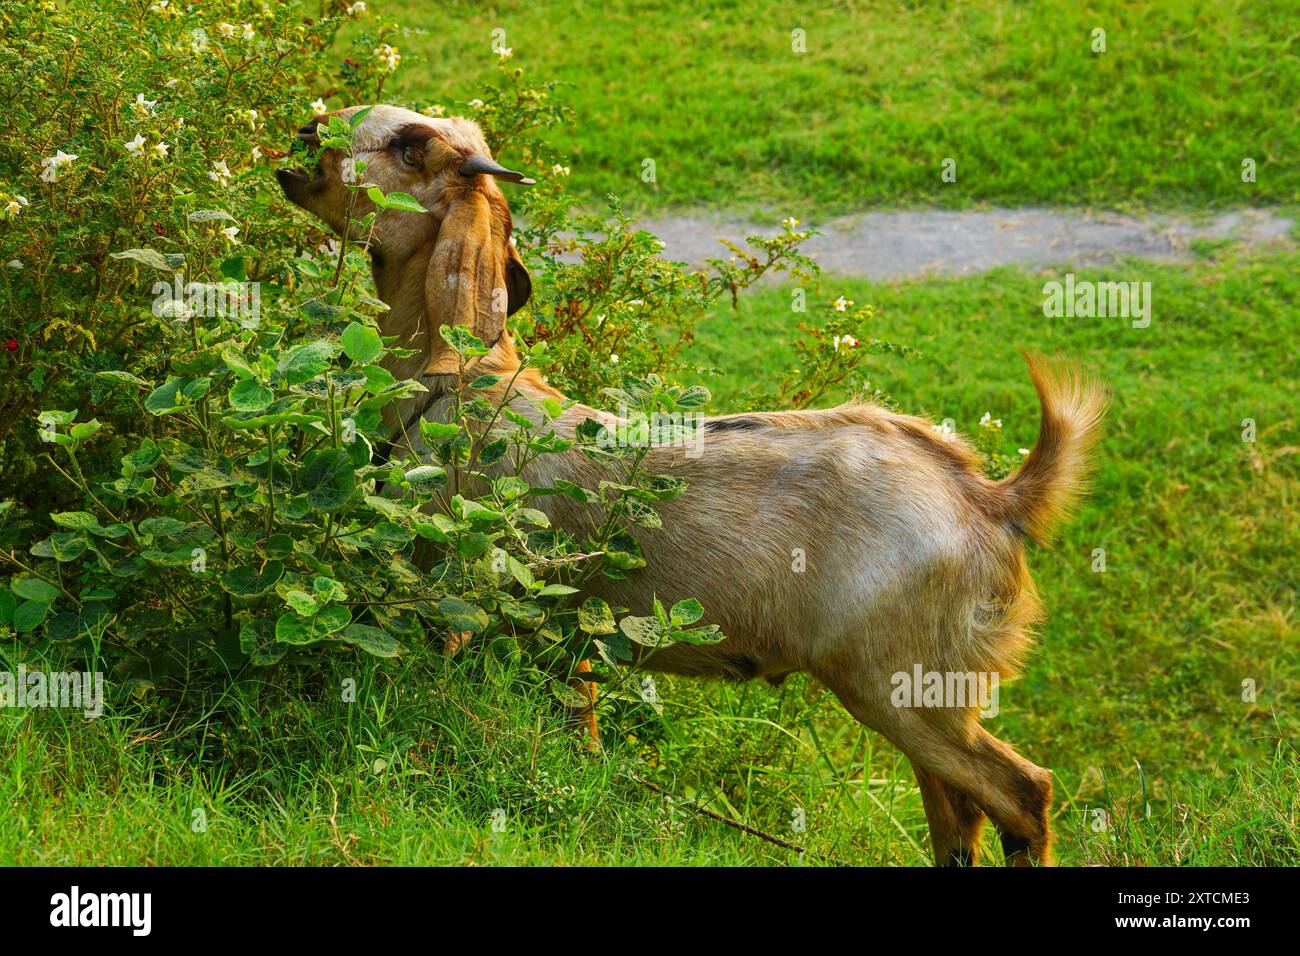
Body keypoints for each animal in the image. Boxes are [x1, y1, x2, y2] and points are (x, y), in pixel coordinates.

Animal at [276, 105, 1107, 866]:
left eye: (409, 146)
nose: (305, 135)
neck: (462, 392)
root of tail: (991, 498)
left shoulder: (450, 598)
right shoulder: (566, 631)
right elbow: (579, 725)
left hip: (898, 682)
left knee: (1022, 791)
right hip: (929, 690)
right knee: (958, 811)